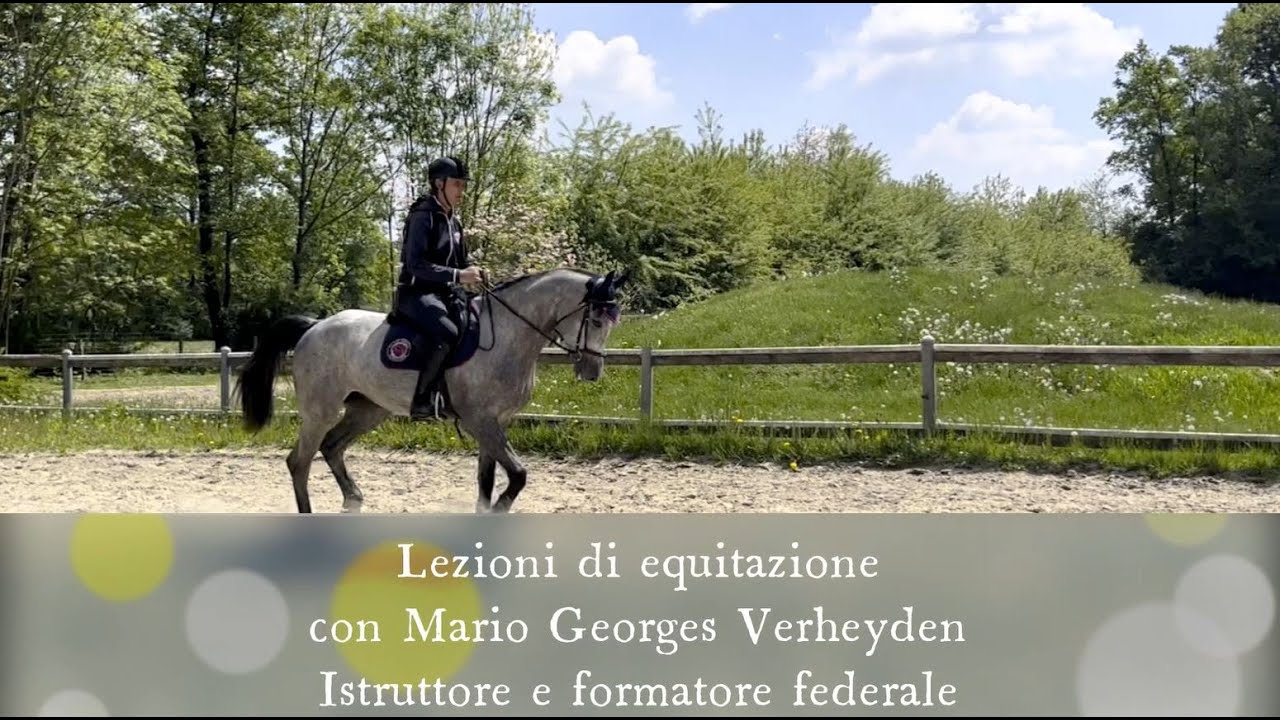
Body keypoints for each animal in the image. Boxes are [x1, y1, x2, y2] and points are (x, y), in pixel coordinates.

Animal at [234, 266, 627, 514]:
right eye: (595, 319)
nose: (592, 371)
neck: (507, 334)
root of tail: (314, 327)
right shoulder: (481, 421)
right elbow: (518, 474)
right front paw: (501, 508)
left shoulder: (495, 422)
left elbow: (485, 480)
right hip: (320, 412)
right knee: (299, 461)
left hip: (368, 410)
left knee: (332, 447)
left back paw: (353, 499)